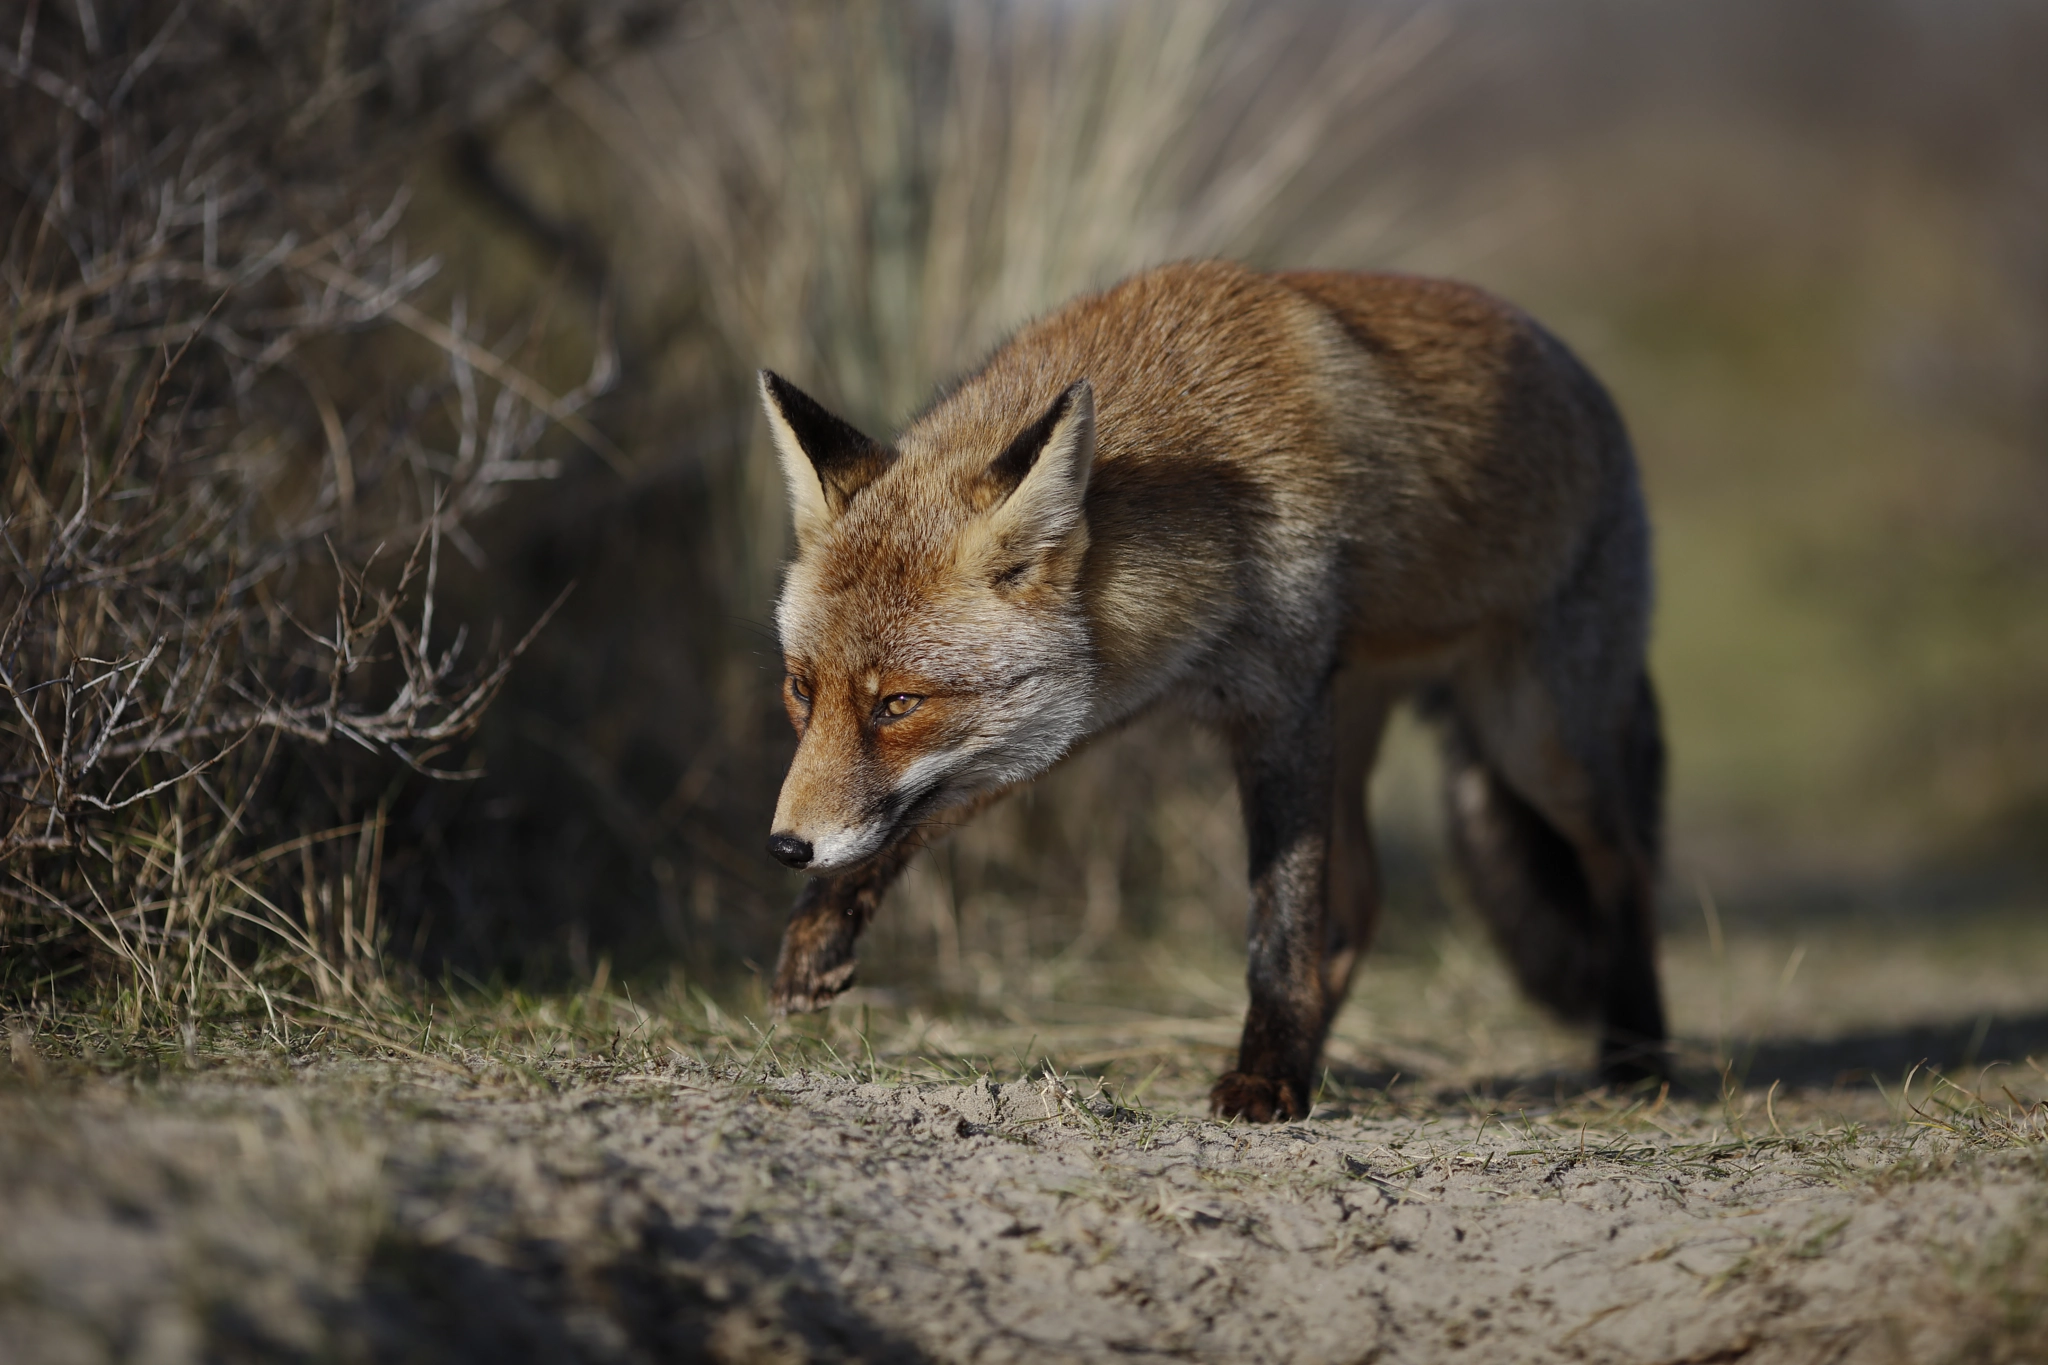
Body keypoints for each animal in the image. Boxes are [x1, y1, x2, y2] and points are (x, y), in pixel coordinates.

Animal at [758, 259, 1668, 1121]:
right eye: (801, 690)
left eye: (898, 704)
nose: (786, 847)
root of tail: (1584, 377)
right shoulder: (1081, 706)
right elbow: (919, 816)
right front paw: (821, 924)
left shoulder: (1280, 710)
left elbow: (1280, 922)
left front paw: (1266, 1077)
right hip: (1363, 721)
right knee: (1363, 899)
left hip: (1535, 740)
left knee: (1622, 855)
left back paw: (1639, 1051)